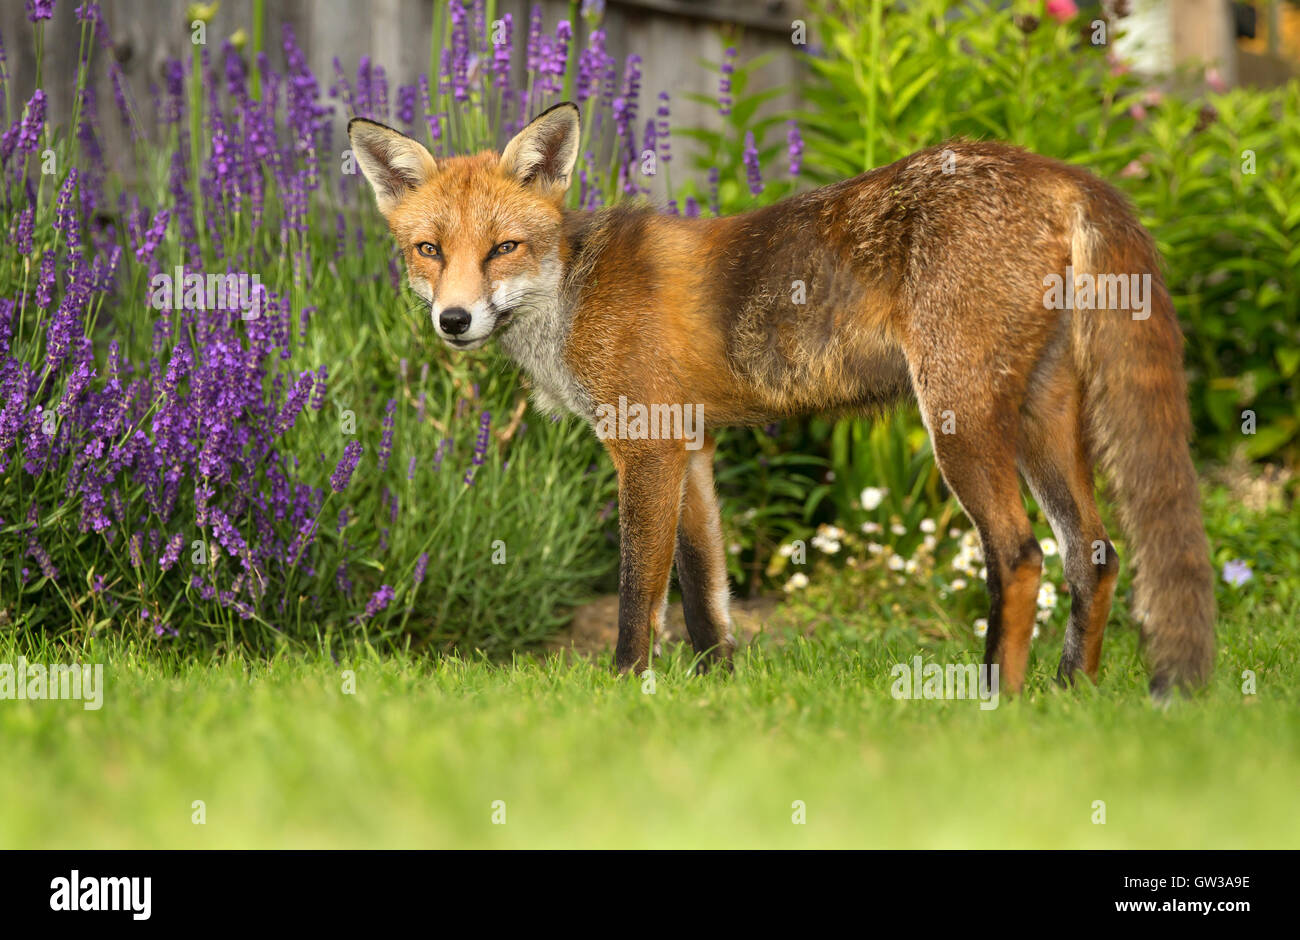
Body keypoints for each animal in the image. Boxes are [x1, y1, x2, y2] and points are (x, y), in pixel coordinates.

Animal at [348, 101, 1215, 698]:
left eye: (504, 248)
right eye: (428, 250)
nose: (454, 320)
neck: (571, 293)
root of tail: (1063, 171)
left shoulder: (647, 445)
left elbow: (637, 594)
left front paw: (626, 691)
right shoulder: (692, 448)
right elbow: (705, 598)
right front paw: (715, 694)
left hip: (959, 422)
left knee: (1020, 555)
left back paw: (996, 702)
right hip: (1039, 423)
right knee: (1094, 553)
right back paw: (1070, 697)